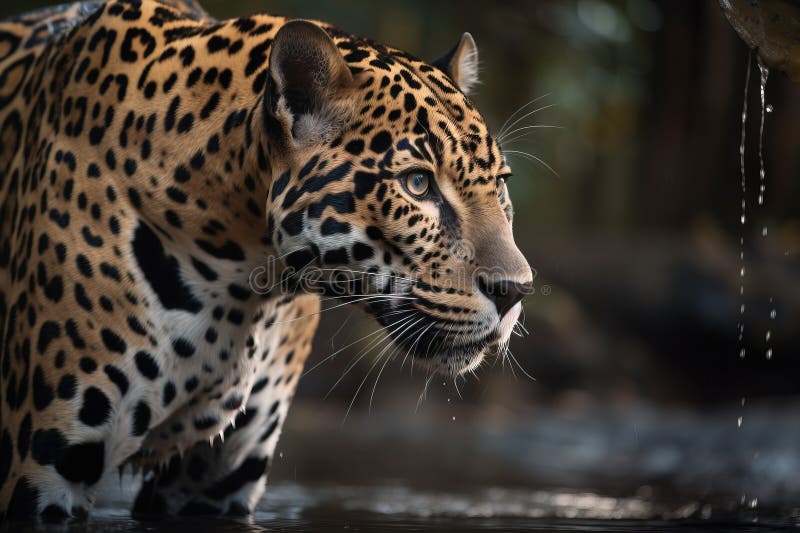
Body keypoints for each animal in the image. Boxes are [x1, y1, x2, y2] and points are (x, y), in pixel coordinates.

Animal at [0, 0, 533, 522]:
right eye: (417, 184)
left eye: (501, 184)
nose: (516, 291)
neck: (242, 284)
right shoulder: (45, 476)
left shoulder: (218, 481)